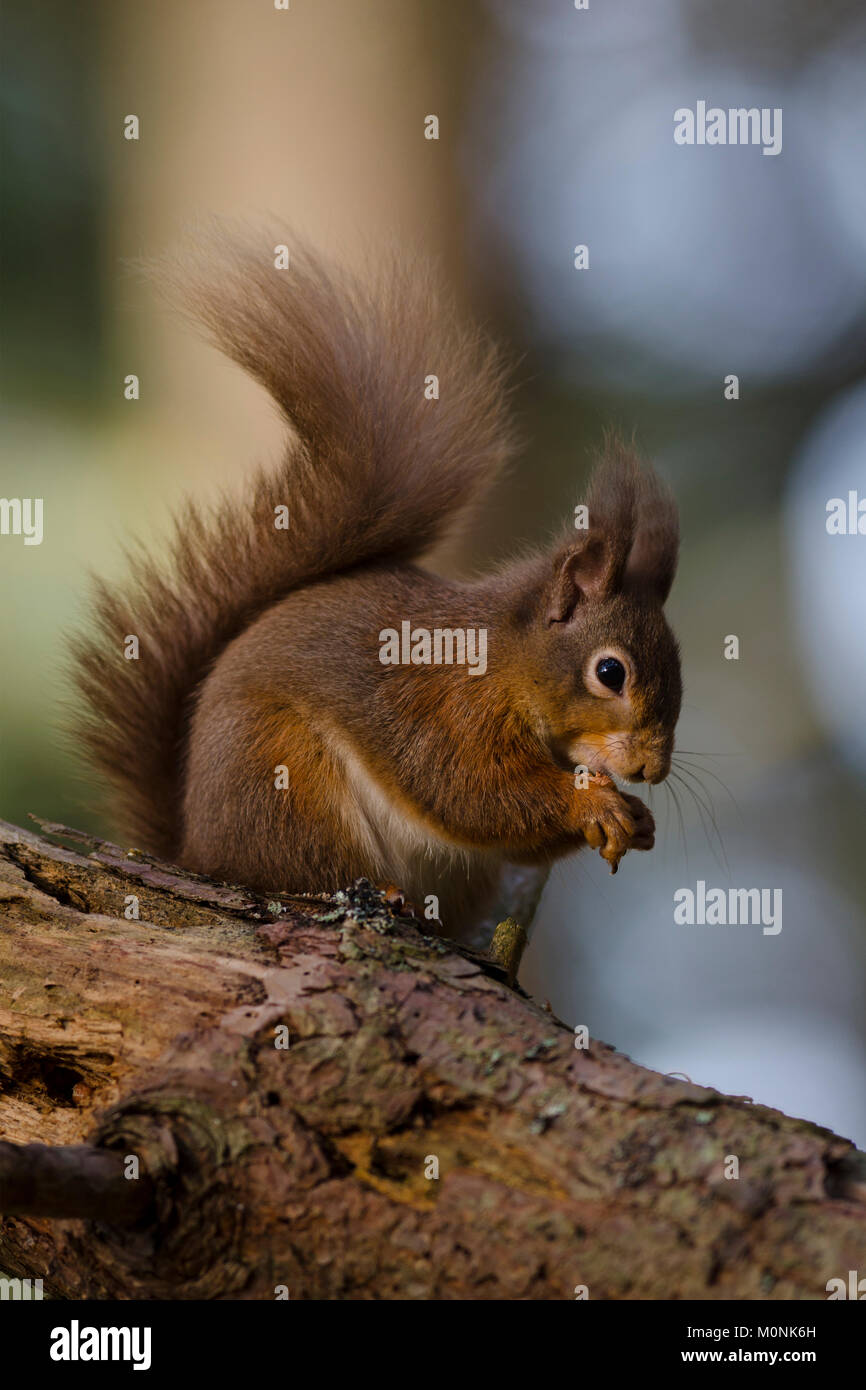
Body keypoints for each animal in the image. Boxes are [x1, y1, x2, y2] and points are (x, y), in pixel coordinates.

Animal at [73, 227, 682, 942]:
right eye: (610, 673)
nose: (651, 770)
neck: (506, 663)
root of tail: (198, 848)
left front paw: (636, 818)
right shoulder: (445, 708)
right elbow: (469, 790)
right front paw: (591, 802)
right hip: (286, 782)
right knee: (303, 868)